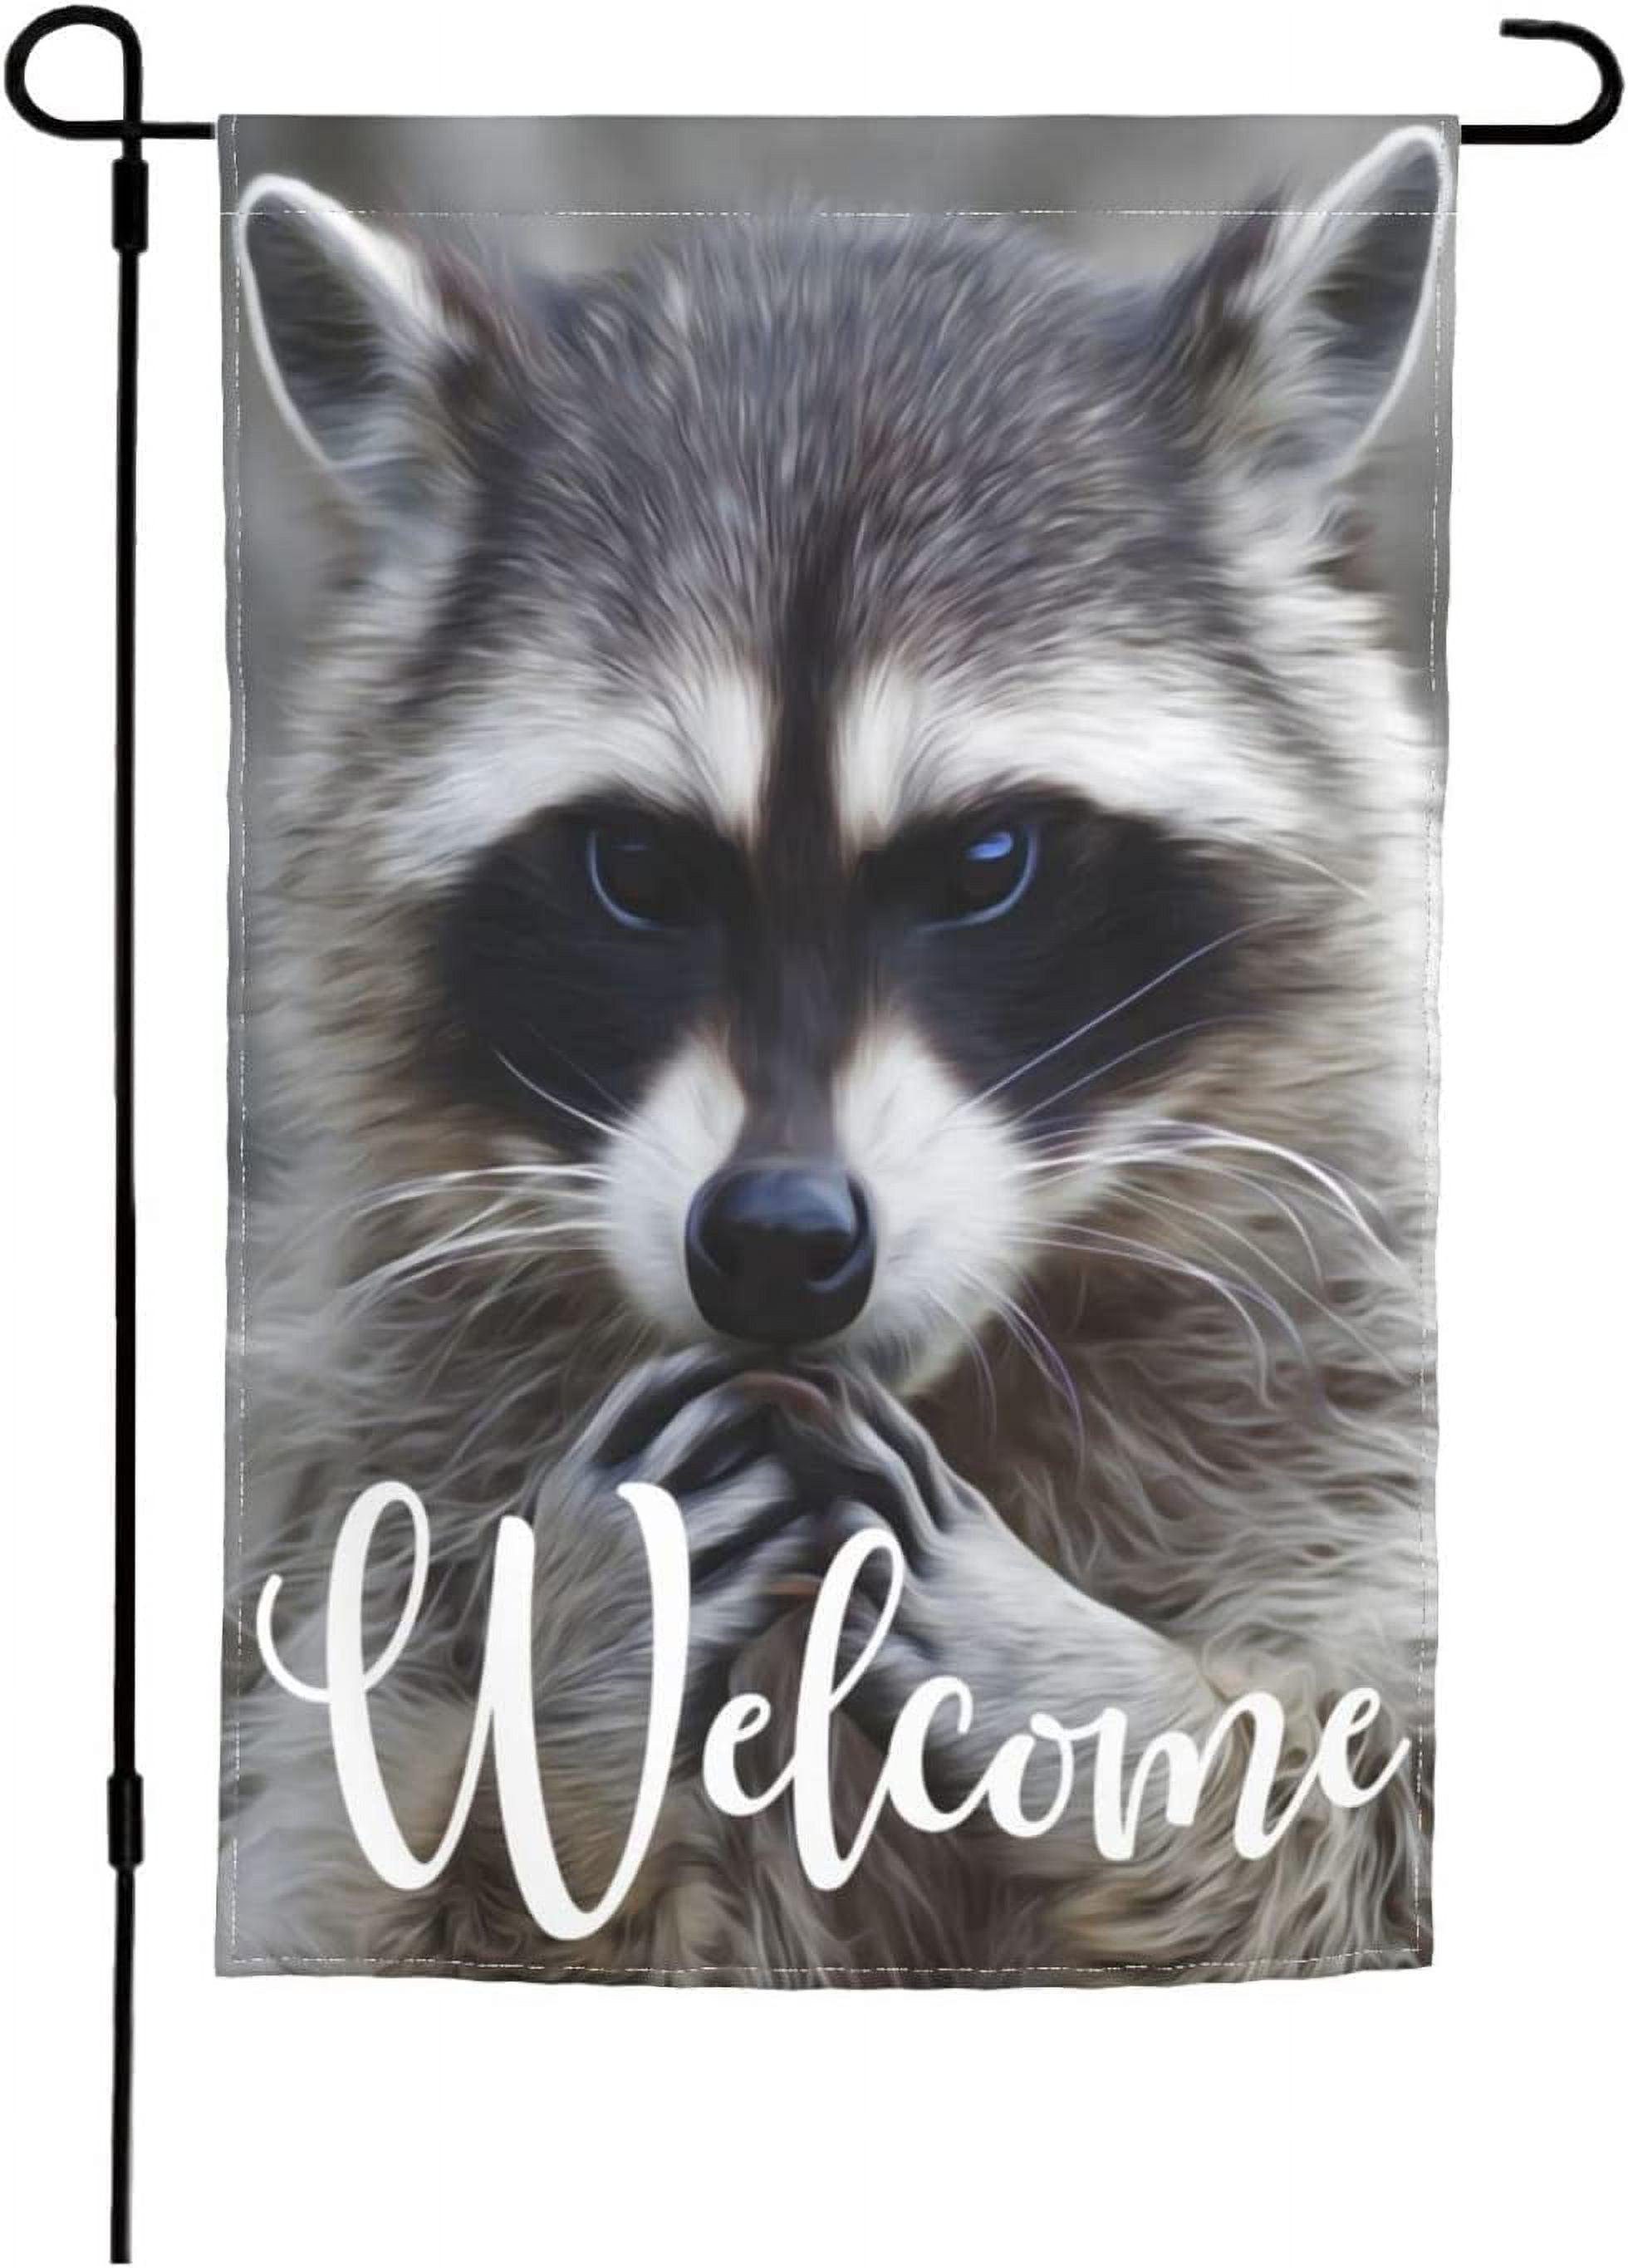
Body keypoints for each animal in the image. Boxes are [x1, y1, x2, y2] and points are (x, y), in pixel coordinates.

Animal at [224, 126, 1447, 1984]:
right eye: (635, 871)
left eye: (989, 861)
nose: (779, 1241)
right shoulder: (354, 1467)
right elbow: (326, 1895)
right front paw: (552, 1722)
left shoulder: (1380, 1358)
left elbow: (1397, 1819)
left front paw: (1132, 1728)